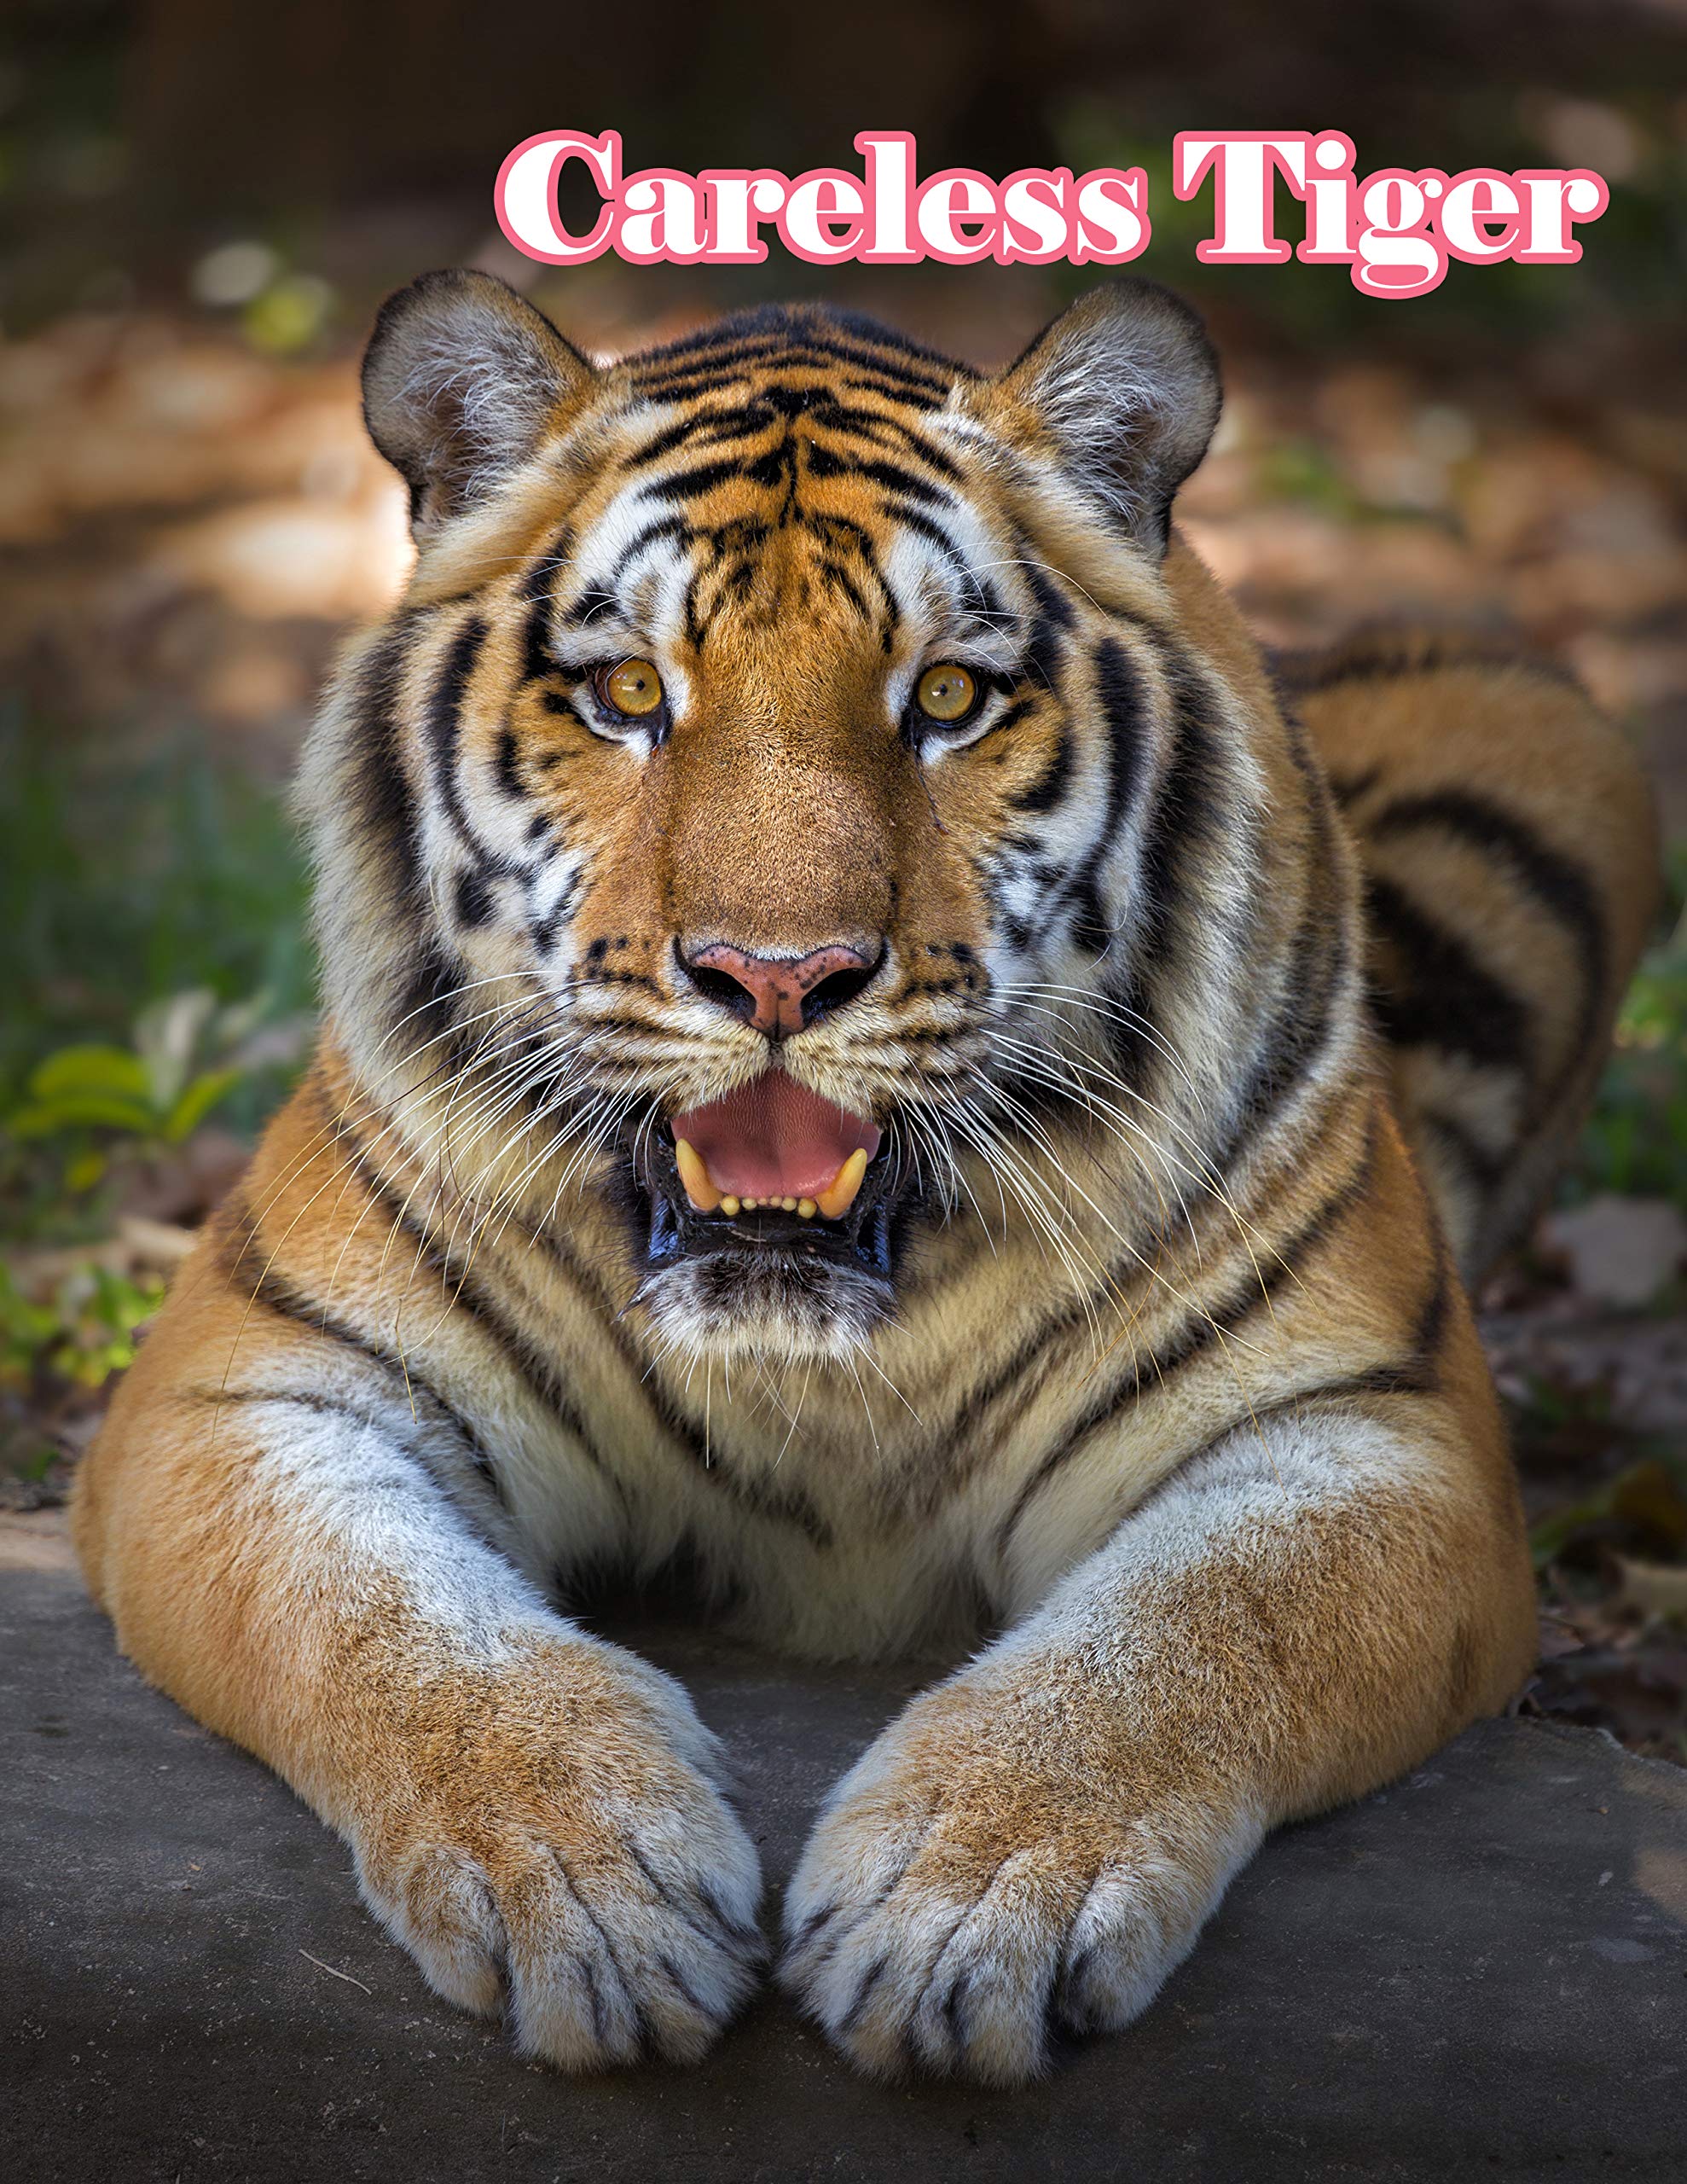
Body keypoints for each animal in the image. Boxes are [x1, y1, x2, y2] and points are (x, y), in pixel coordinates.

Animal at [72, 270, 1659, 2087]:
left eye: (948, 701)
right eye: (627, 697)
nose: (778, 978)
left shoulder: (1369, 1433)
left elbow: (1186, 1638)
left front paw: (963, 1908)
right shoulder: (251, 1392)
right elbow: (386, 1628)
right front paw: (587, 1884)